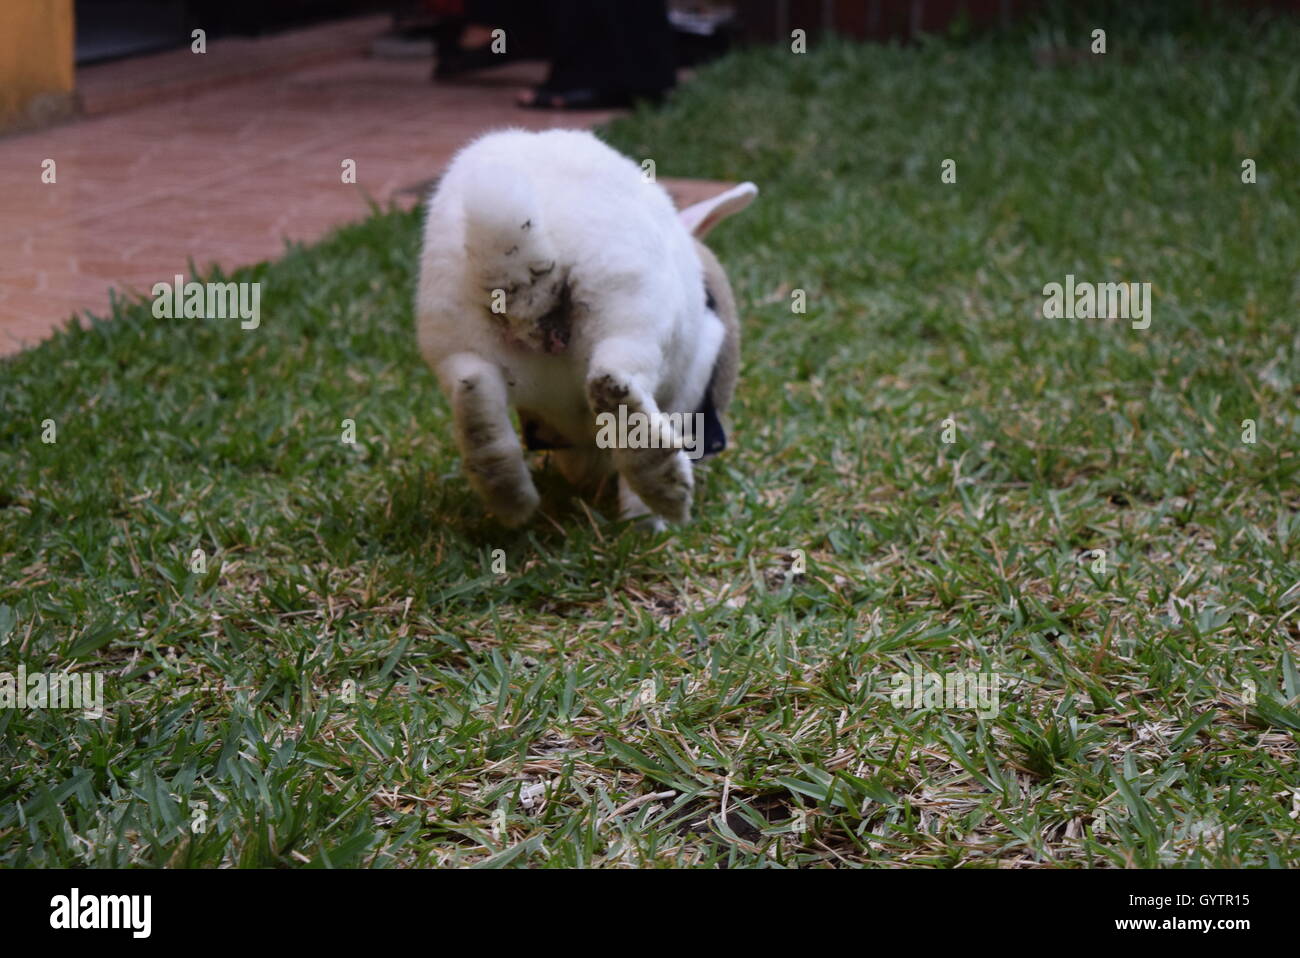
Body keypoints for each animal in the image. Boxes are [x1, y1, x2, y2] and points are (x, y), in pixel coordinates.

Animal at [415, 128, 756, 529]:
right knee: (615, 381)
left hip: (459, 341)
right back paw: (664, 495)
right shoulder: (688, 388)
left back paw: (510, 495)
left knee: (474, 392)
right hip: (631, 315)